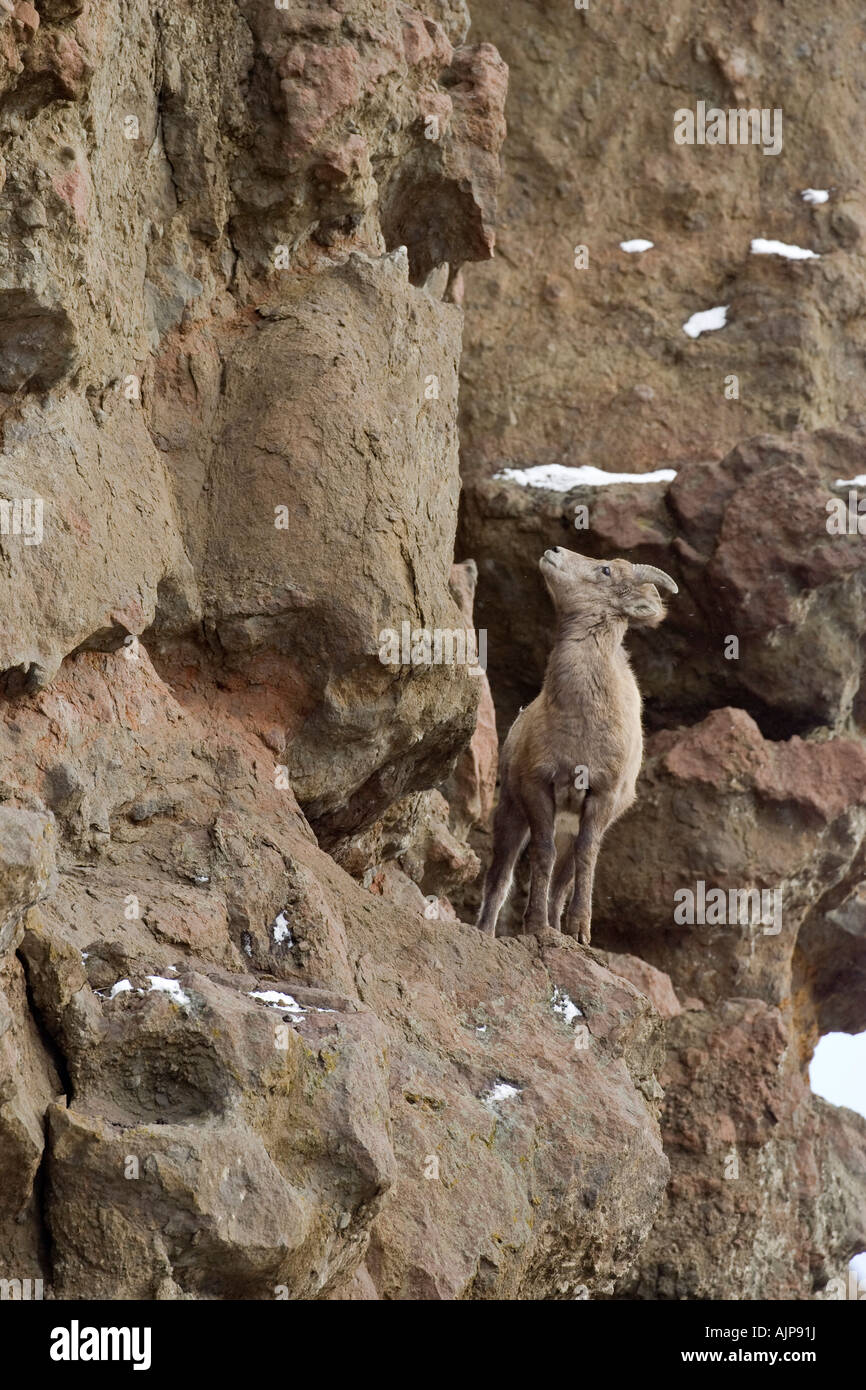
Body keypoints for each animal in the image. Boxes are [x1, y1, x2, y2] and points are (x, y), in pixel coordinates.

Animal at [477, 547, 677, 943]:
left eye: (605, 571)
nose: (553, 552)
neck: (580, 724)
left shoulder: (600, 798)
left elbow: (586, 859)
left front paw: (580, 931)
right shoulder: (539, 787)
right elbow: (543, 853)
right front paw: (536, 926)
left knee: (561, 883)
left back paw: (562, 930)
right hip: (511, 810)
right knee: (501, 878)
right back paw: (487, 932)